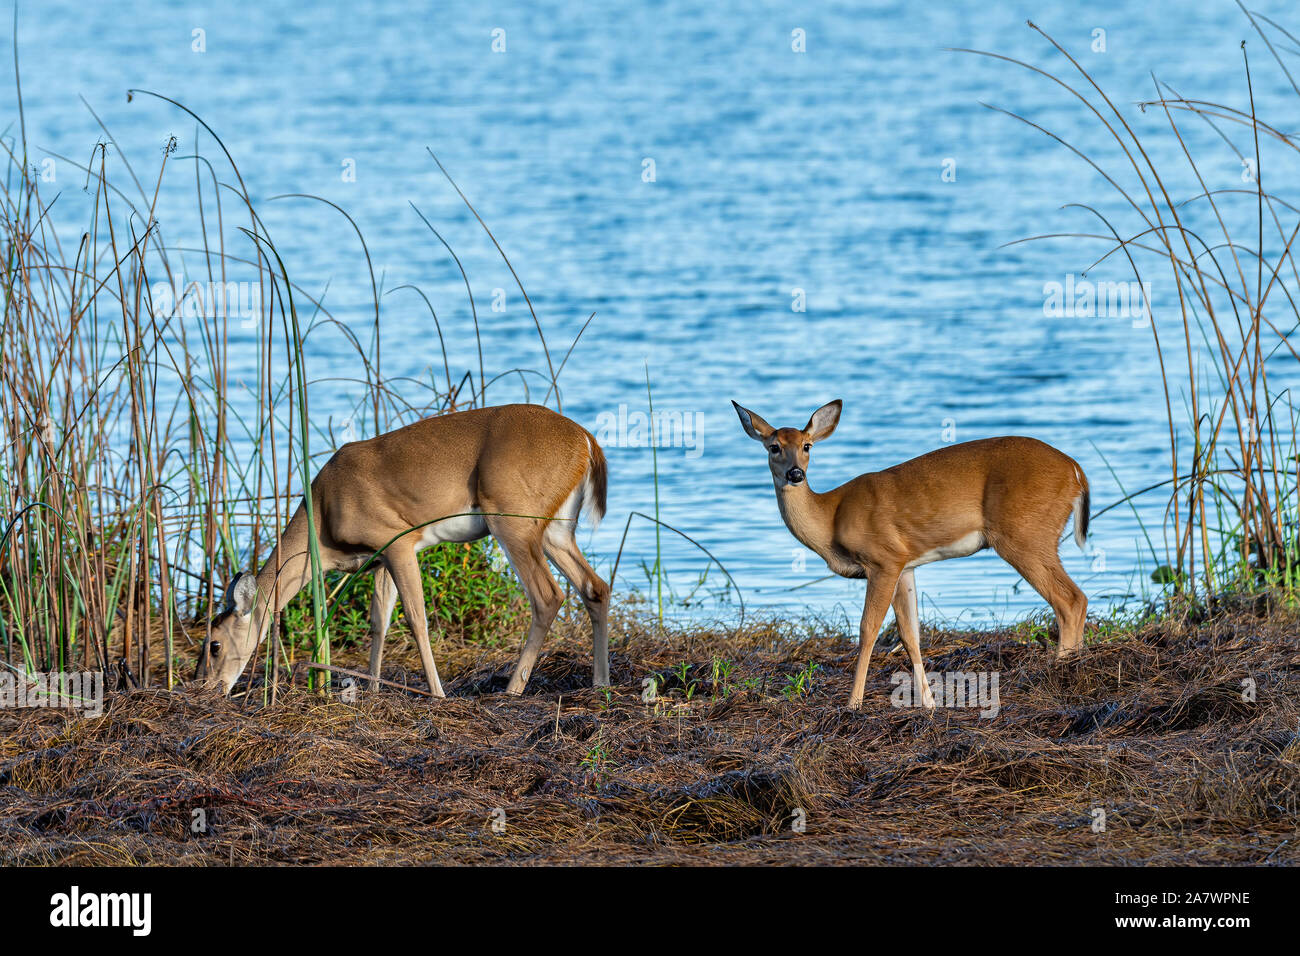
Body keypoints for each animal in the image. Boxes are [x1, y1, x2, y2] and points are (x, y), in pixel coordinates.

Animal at [194, 403, 610, 698]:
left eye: (214, 644)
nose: (203, 687)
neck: (322, 520)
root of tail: (587, 442)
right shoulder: (378, 558)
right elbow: (379, 620)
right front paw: (375, 688)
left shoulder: (397, 540)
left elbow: (416, 618)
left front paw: (437, 694)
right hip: (556, 530)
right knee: (595, 587)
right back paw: (600, 683)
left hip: (512, 519)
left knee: (548, 596)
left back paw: (512, 689)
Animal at [732, 399, 1090, 711]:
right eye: (774, 446)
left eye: (807, 446)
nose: (796, 474)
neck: (830, 516)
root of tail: (1076, 471)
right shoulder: (905, 565)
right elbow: (910, 634)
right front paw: (928, 703)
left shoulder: (883, 559)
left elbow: (868, 630)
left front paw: (853, 702)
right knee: (1075, 599)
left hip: (1024, 534)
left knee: (1070, 599)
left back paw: (1060, 668)